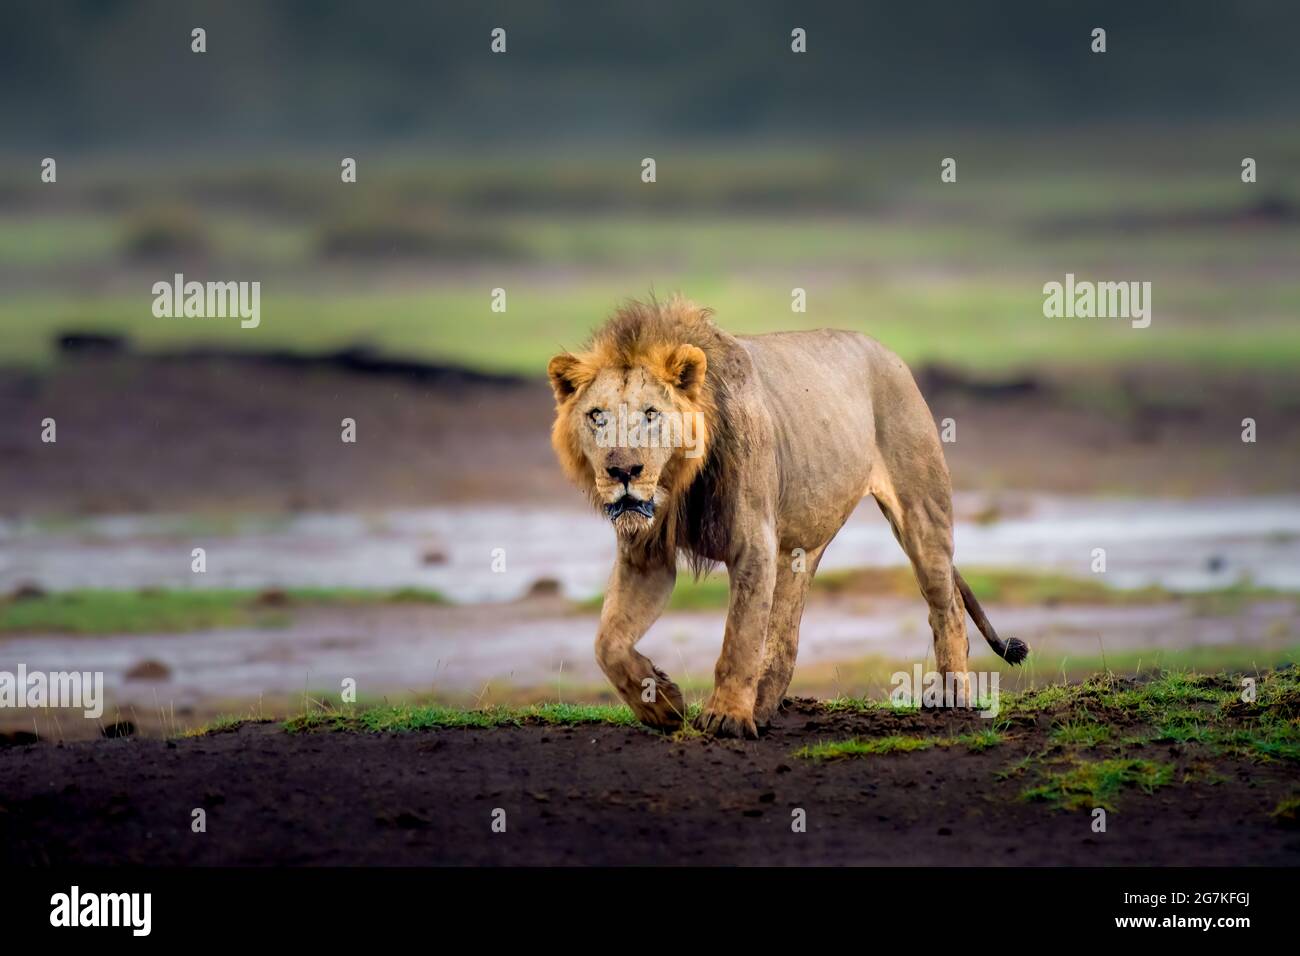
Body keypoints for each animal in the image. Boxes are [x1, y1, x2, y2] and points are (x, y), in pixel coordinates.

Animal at [547, 295, 1027, 738]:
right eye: (596, 416)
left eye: (651, 414)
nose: (624, 471)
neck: (678, 481)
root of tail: (887, 352)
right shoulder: (646, 558)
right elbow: (608, 643)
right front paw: (662, 704)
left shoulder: (753, 545)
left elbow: (739, 639)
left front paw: (725, 718)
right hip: (800, 546)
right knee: (786, 632)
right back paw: (763, 706)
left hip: (922, 512)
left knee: (946, 605)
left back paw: (952, 693)